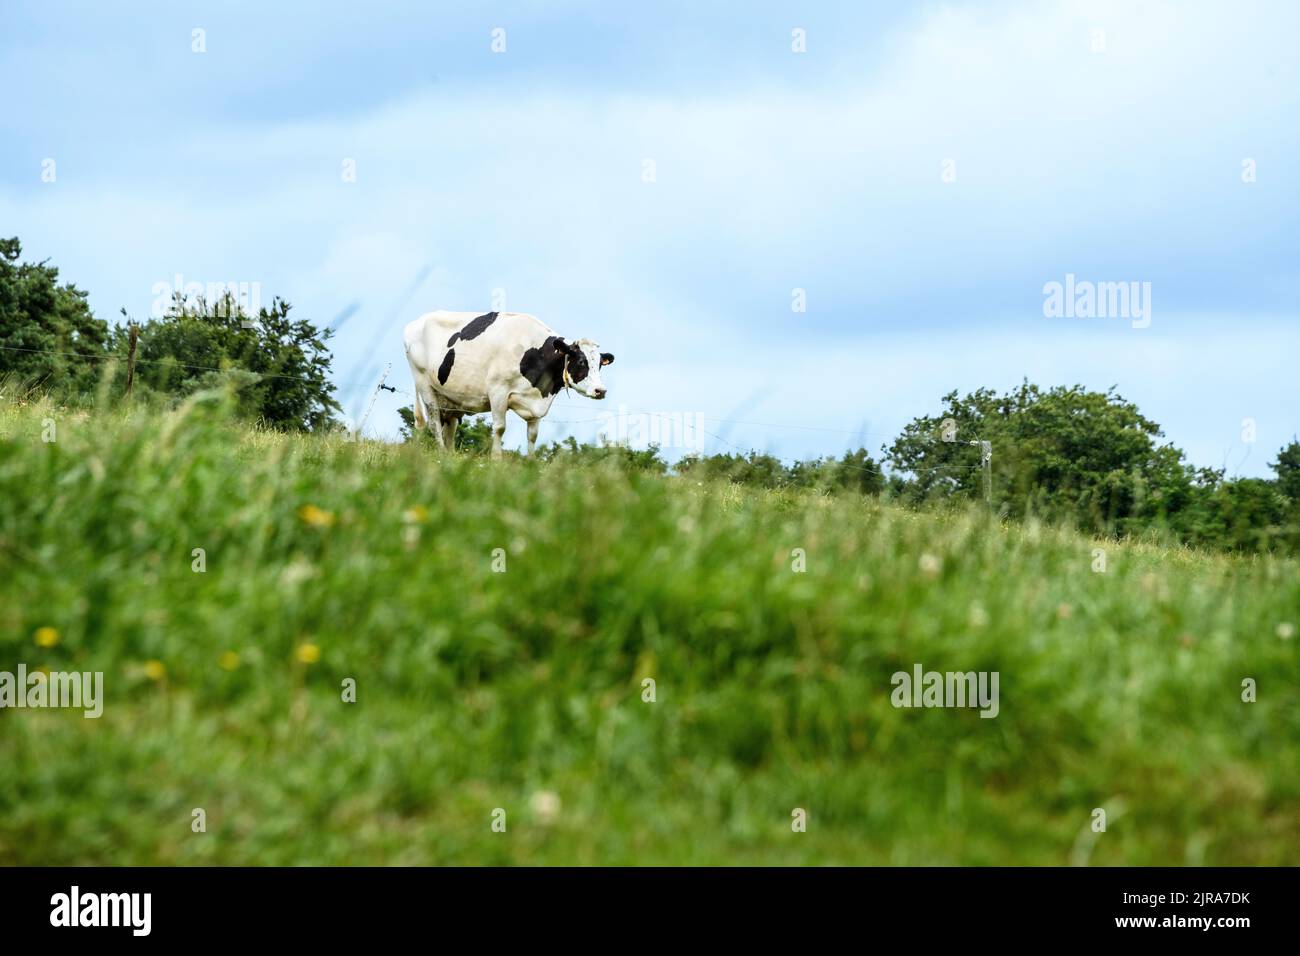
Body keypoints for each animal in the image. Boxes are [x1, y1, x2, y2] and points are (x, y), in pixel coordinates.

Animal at [403, 310, 614, 456]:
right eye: (581, 362)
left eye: (599, 365)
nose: (600, 390)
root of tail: (415, 323)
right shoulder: (498, 391)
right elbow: (499, 428)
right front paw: (496, 460)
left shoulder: (537, 400)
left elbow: (532, 435)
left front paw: (531, 462)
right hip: (423, 383)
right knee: (434, 424)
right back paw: (441, 455)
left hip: (450, 399)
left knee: (449, 428)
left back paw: (450, 456)